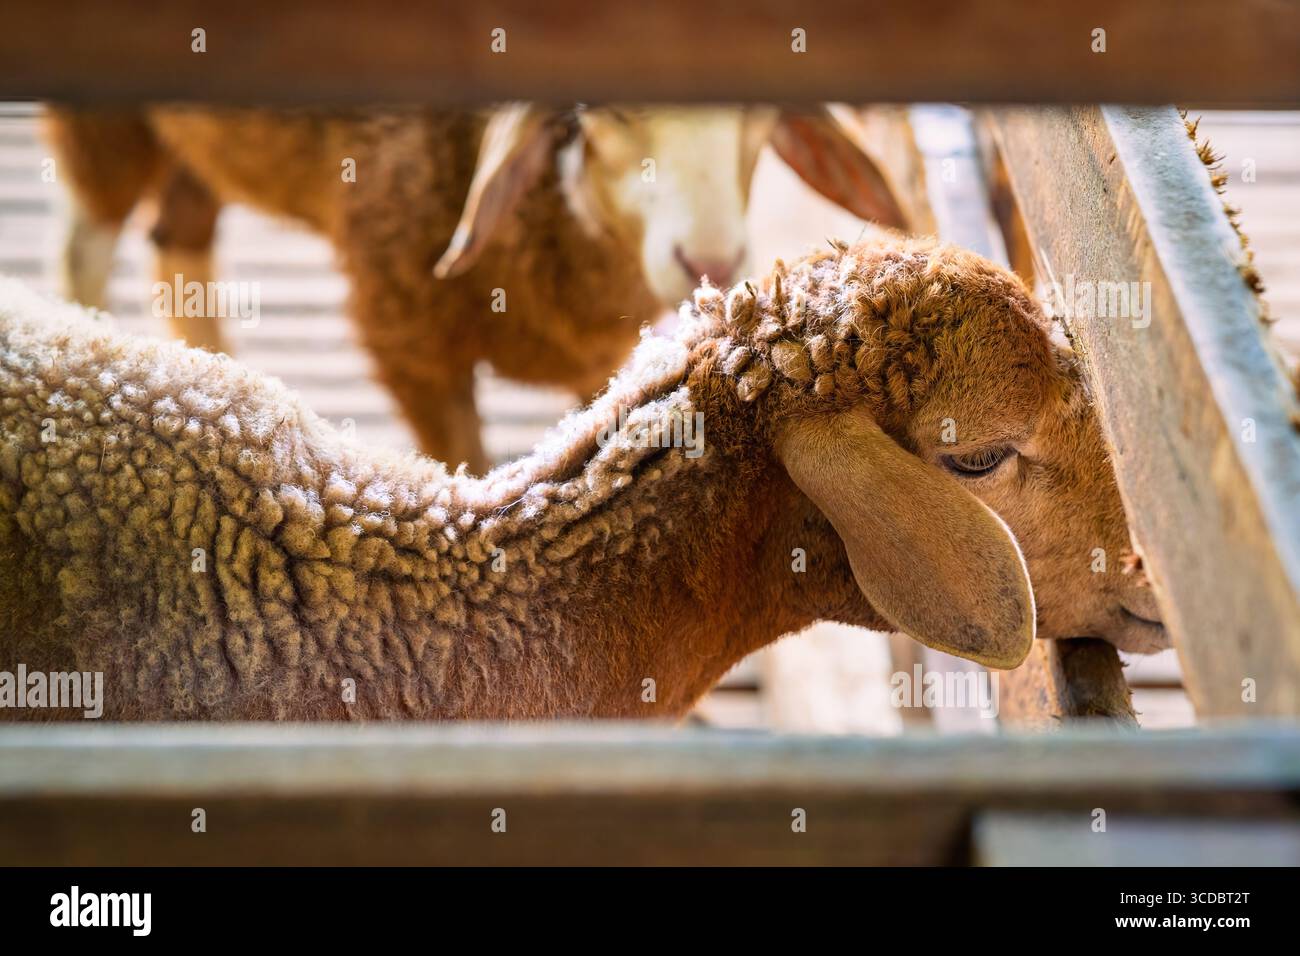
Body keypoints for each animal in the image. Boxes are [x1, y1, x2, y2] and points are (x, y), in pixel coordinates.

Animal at [43, 103, 908, 473]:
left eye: (762, 115)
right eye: (609, 114)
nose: (712, 262)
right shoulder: (408, 335)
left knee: (177, 238)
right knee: (87, 245)